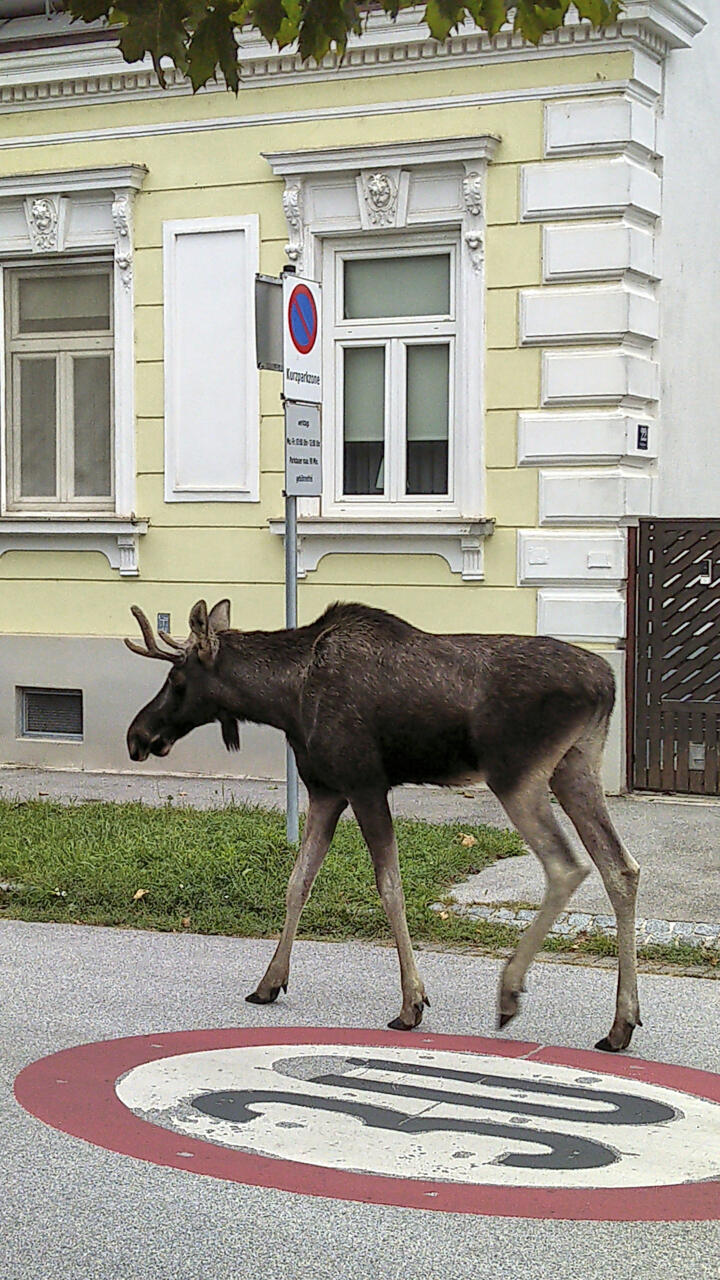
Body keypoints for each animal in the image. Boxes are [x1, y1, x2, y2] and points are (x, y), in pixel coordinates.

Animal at [125, 598, 641, 1053]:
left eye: (176, 678)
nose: (138, 736)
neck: (284, 701)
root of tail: (609, 683)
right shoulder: (326, 791)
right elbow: (298, 883)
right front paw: (269, 982)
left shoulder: (364, 783)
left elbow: (389, 885)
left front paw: (412, 1003)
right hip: (575, 765)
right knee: (622, 867)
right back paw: (620, 1024)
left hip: (517, 774)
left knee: (567, 865)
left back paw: (510, 992)